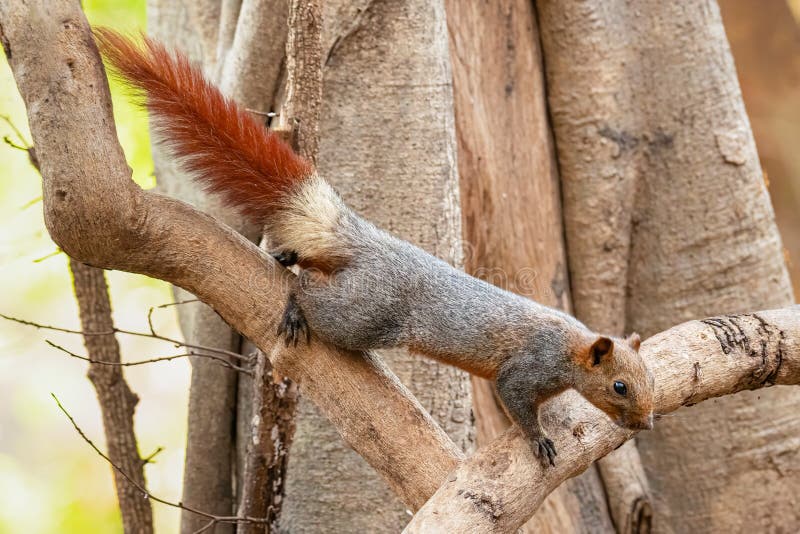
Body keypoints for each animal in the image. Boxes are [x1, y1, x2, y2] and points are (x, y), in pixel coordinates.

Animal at [95, 29, 655, 466]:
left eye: (648, 377)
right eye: (619, 387)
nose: (647, 423)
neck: (571, 347)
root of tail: (369, 243)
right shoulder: (528, 365)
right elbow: (516, 398)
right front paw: (538, 438)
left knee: (307, 263)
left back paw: (285, 256)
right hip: (368, 313)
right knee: (312, 293)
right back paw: (295, 304)